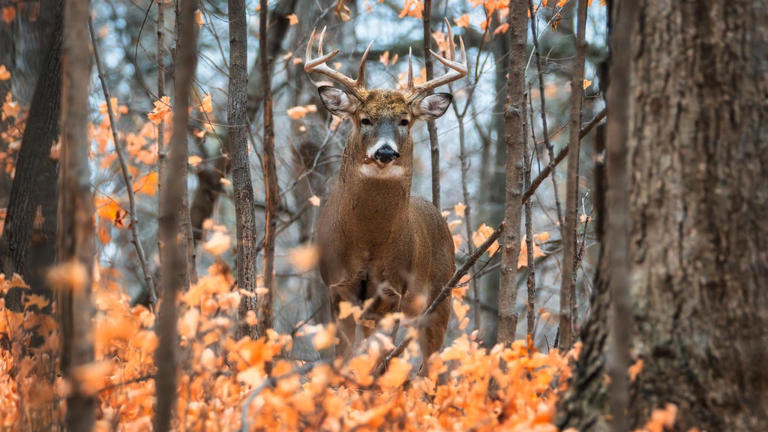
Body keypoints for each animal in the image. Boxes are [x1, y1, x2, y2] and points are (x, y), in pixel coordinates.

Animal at [304, 23, 467, 371]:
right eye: (364, 118)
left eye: (404, 120)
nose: (385, 152)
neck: (368, 243)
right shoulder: (337, 288)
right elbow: (345, 358)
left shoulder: (393, 292)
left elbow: (380, 361)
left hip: (440, 297)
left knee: (432, 364)